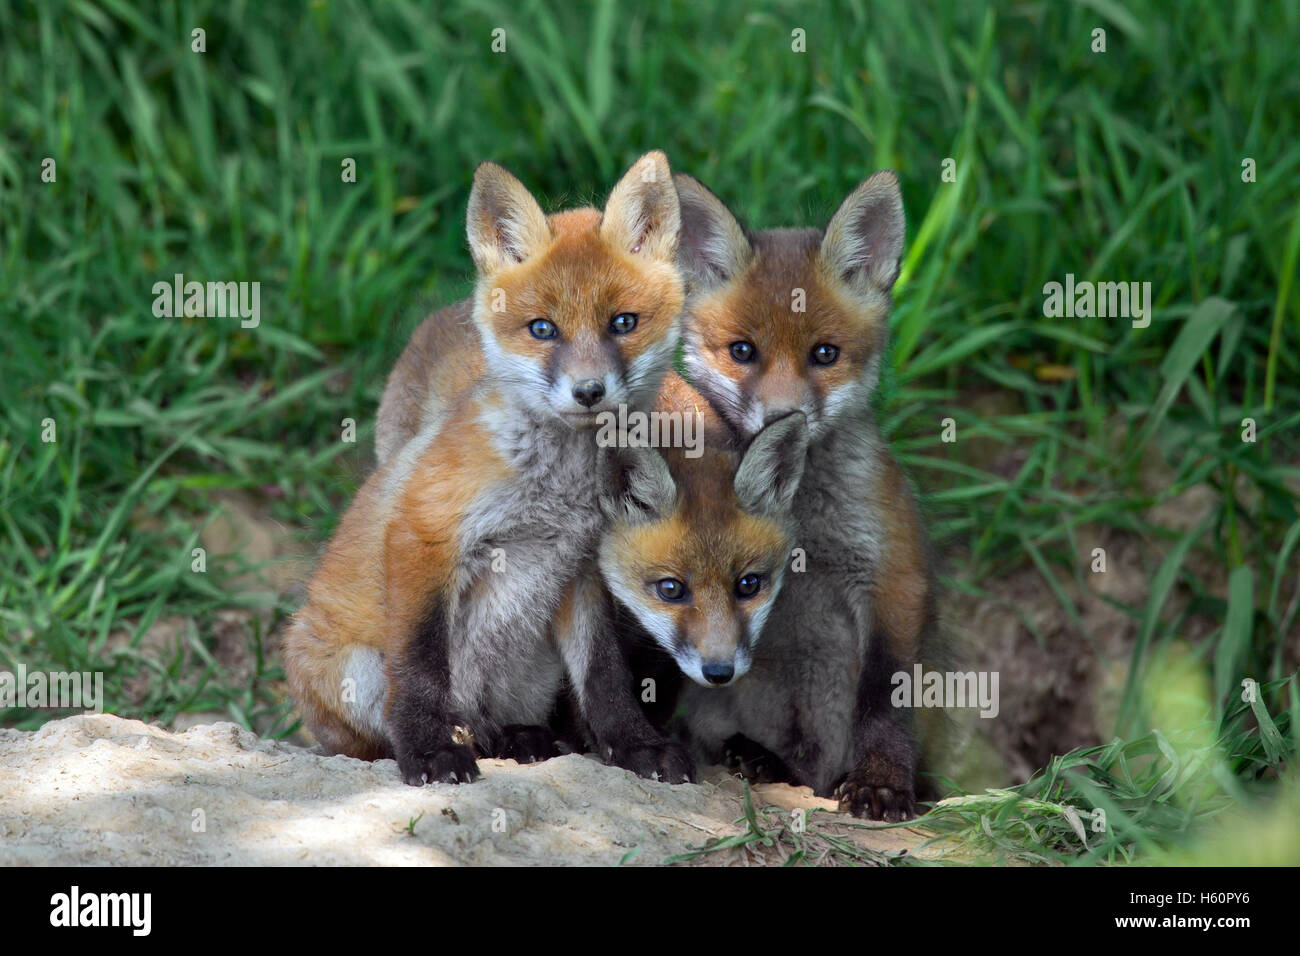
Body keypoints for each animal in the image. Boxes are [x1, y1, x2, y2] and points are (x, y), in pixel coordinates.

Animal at [284, 151, 695, 786]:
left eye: (623, 323)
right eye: (542, 329)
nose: (589, 391)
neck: (555, 492)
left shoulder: (581, 568)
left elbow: (605, 678)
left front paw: (635, 745)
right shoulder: (425, 536)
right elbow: (421, 669)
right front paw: (429, 751)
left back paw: (518, 737)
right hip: (357, 671)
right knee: (382, 735)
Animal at [665, 170, 942, 820]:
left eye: (824, 354)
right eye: (743, 351)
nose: (782, 417)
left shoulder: (893, 579)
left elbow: (885, 704)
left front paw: (882, 783)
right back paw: (760, 760)